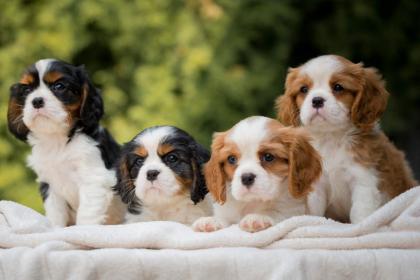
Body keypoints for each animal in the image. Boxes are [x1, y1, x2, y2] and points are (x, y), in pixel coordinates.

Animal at [6, 58, 124, 226]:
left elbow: (86, 214)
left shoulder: (93, 178)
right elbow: (55, 214)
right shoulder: (50, 185)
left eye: (59, 86)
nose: (36, 101)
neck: (57, 140)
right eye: (26, 90)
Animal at [194, 116, 322, 232]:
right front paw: (212, 220)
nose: (246, 177)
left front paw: (258, 217)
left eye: (268, 157)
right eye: (232, 159)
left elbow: (276, 212)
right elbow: (226, 219)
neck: (253, 202)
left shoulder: (294, 211)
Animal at [278, 54, 418, 223]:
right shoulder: (316, 185)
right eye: (304, 89)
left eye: (338, 87)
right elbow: (313, 211)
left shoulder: (363, 181)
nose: (317, 100)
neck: (331, 138)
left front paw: (361, 226)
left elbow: (360, 212)